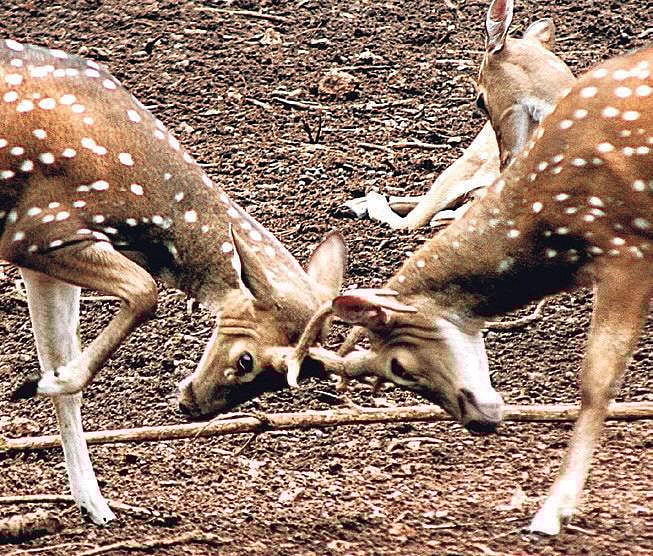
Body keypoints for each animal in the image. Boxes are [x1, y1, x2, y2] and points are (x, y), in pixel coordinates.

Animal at [0, 39, 363, 525]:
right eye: (248, 360)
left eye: (289, 378)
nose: (193, 406)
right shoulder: (38, 231)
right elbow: (145, 291)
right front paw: (40, 384)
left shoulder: (42, 259)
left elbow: (61, 363)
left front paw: (95, 504)